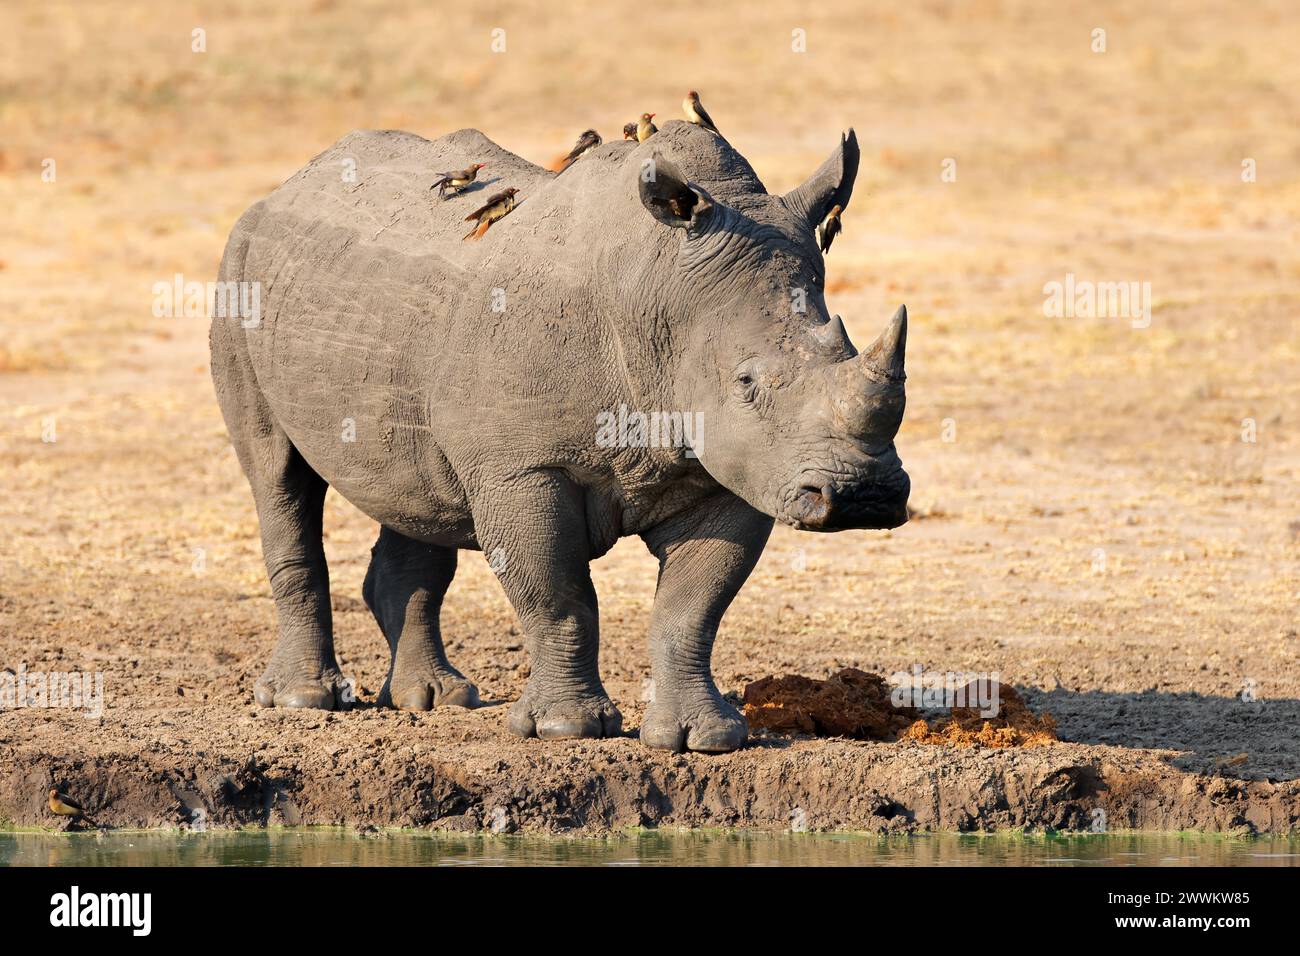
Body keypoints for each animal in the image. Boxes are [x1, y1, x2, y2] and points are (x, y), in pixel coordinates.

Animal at [210, 120, 910, 753]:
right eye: (746, 383)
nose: (864, 497)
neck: (659, 294)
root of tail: (289, 182)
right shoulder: (521, 468)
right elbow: (558, 595)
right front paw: (565, 729)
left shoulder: (732, 471)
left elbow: (693, 608)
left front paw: (703, 739)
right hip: (239, 269)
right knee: (277, 475)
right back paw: (305, 699)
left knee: (414, 494)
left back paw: (434, 698)